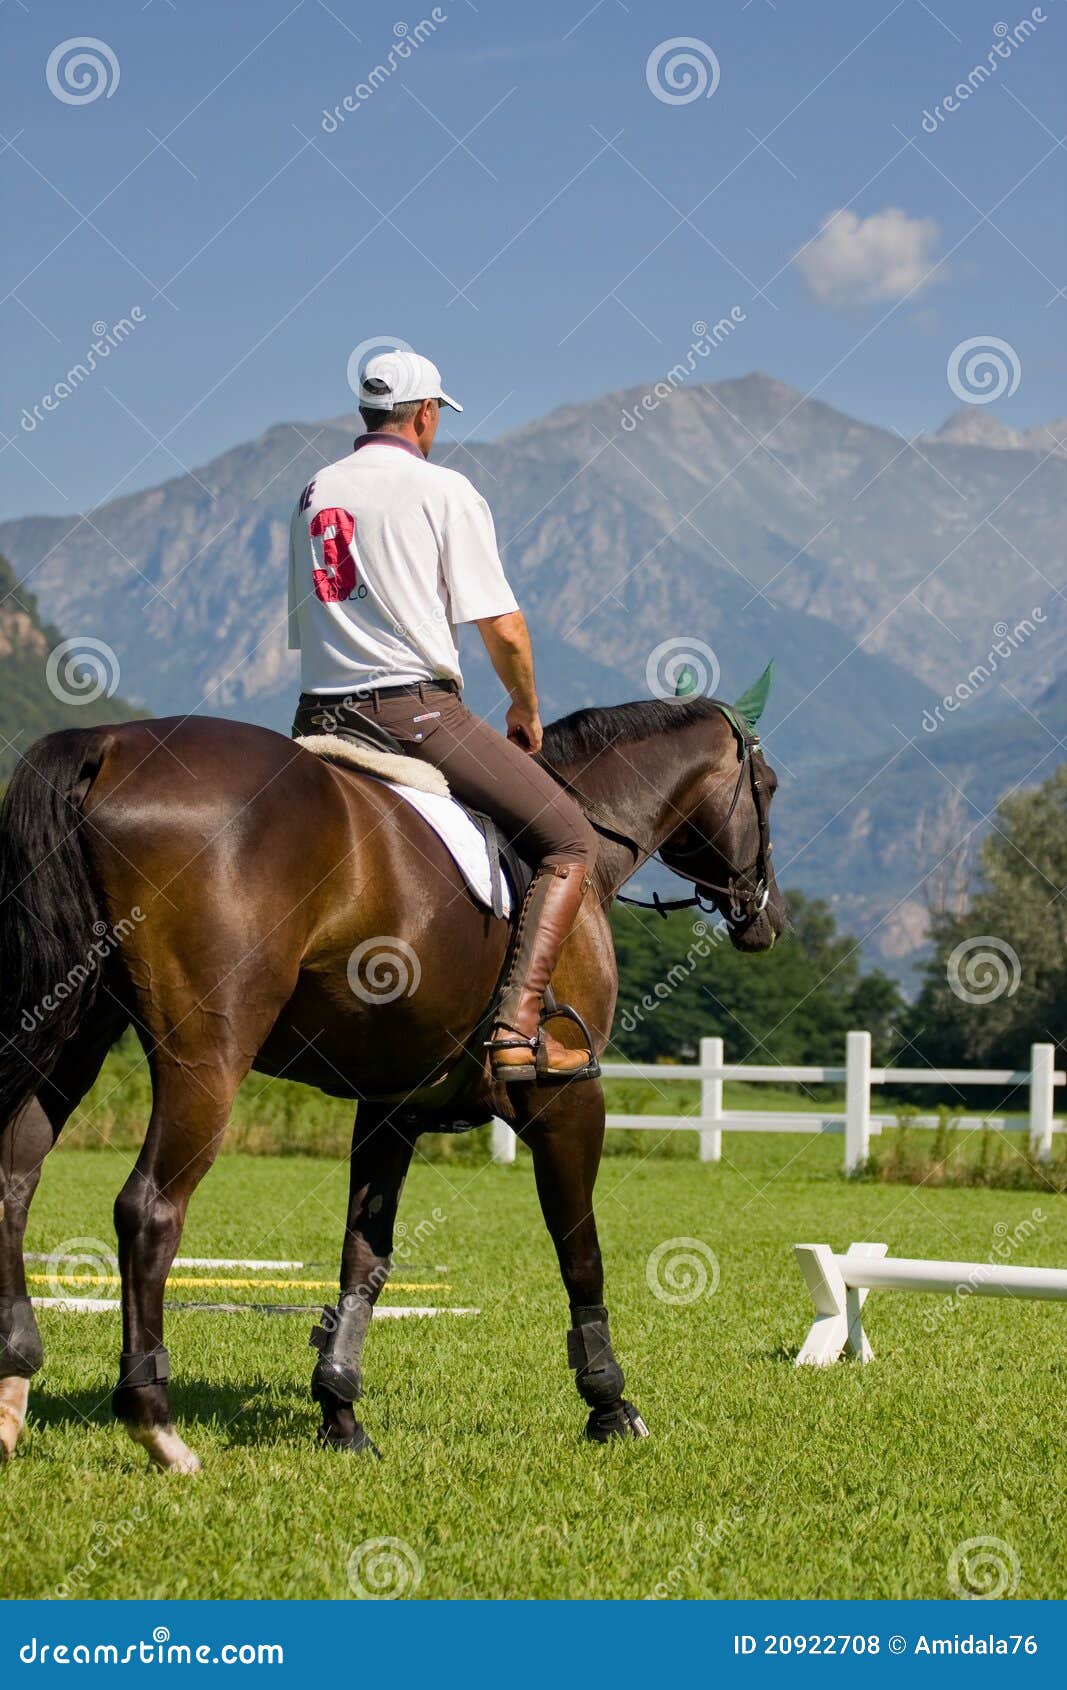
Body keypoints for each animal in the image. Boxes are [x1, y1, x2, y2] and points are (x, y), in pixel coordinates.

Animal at [0, 680, 785, 1472]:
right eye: (770, 788)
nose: (767, 918)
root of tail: (110, 743)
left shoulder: (390, 1107)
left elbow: (364, 1258)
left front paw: (339, 1411)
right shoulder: (566, 1098)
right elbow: (581, 1253)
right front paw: (609, 1403)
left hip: (70, 1032)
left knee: (13, 1177)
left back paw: (14, 1385)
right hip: (207, 1054)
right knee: (149, 1208)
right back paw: (156, 1423)